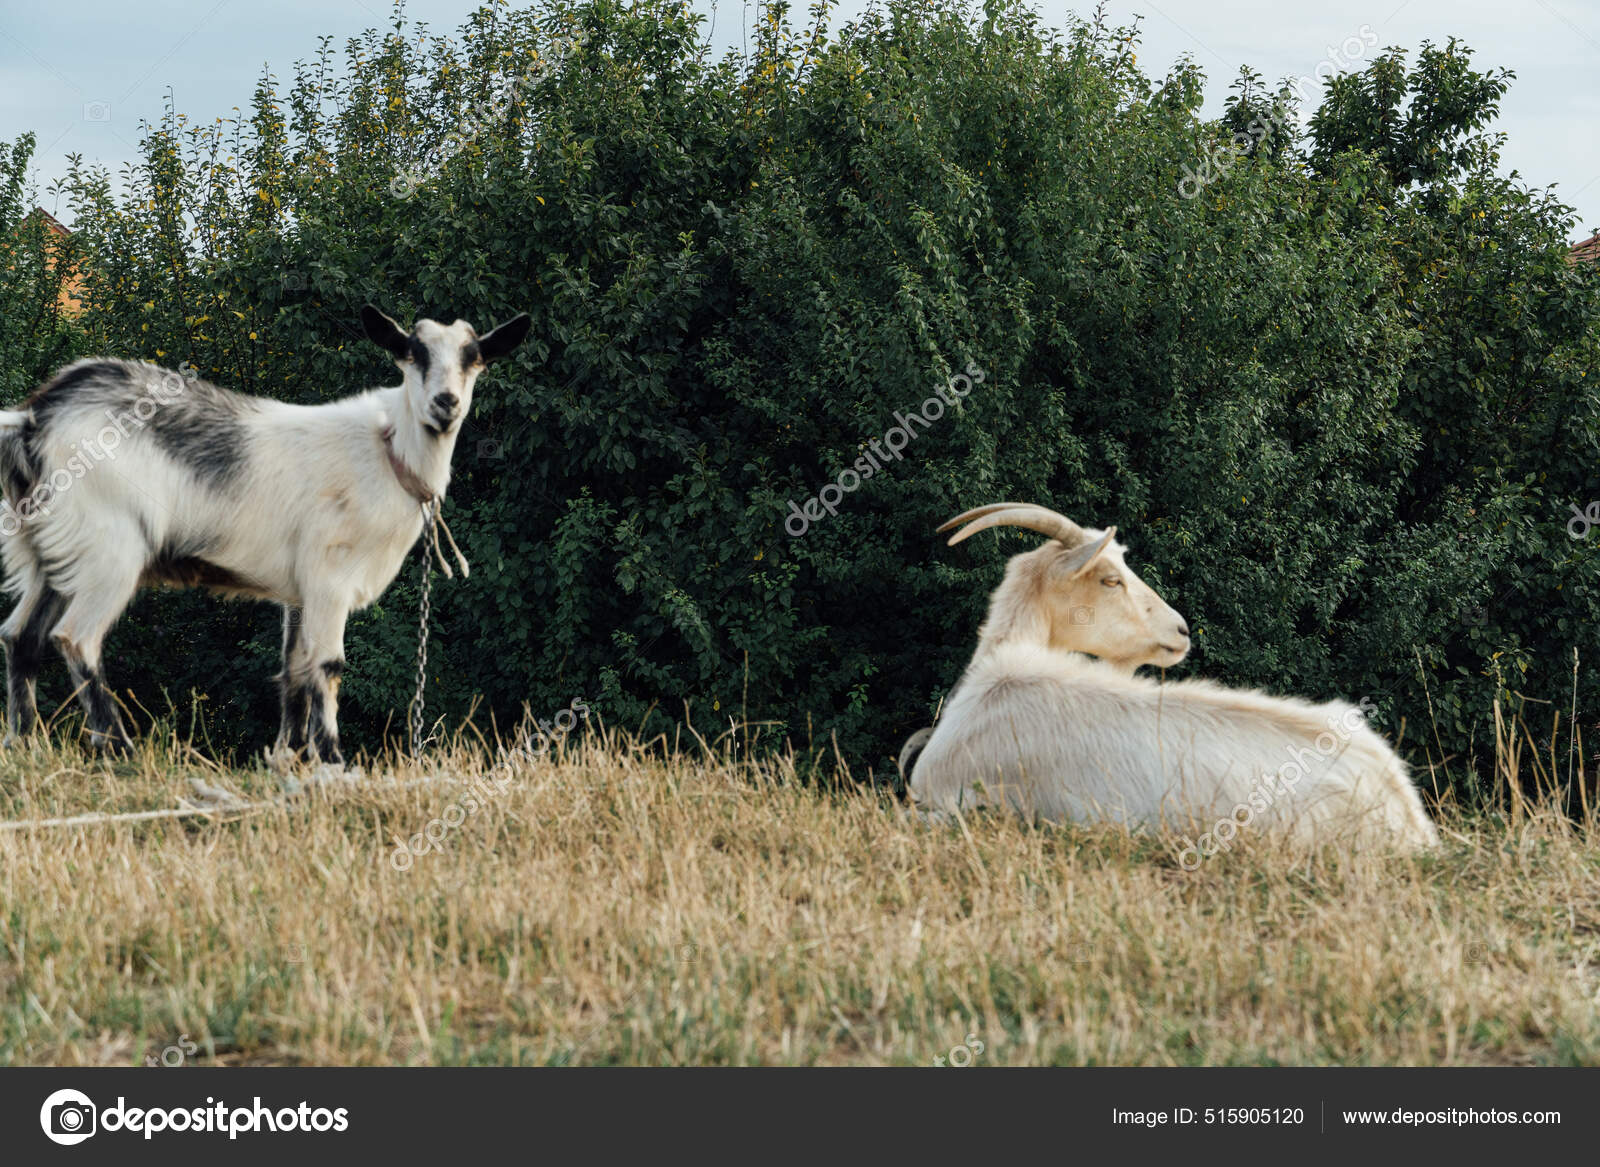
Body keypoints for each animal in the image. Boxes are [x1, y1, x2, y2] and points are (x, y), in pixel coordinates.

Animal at [0, 305, 530, 761]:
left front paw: (290, 759)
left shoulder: (298, 592)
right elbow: (327, 665)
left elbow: (294, 670)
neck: (389, 453)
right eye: (413, 353)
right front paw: (334, 762)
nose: (446, 403)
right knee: (75, 638)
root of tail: (35, 420)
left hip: (48, 549)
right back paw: (120, 749)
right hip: (109, 549)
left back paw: (27, 747)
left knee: (20, 636)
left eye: (474, 357)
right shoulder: (330, 578)